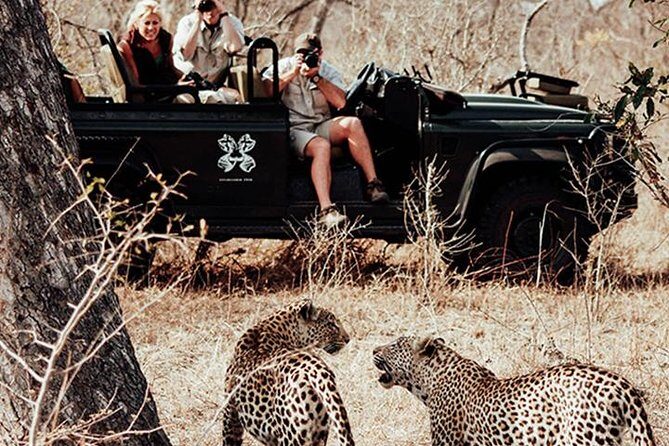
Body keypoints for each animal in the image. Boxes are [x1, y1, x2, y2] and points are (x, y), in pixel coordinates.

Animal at [222, 299, 355, 446]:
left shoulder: (230, 415)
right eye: (331, 324)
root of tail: (316, 369)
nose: (348, 339)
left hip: (290, 435)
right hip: (319, 432)